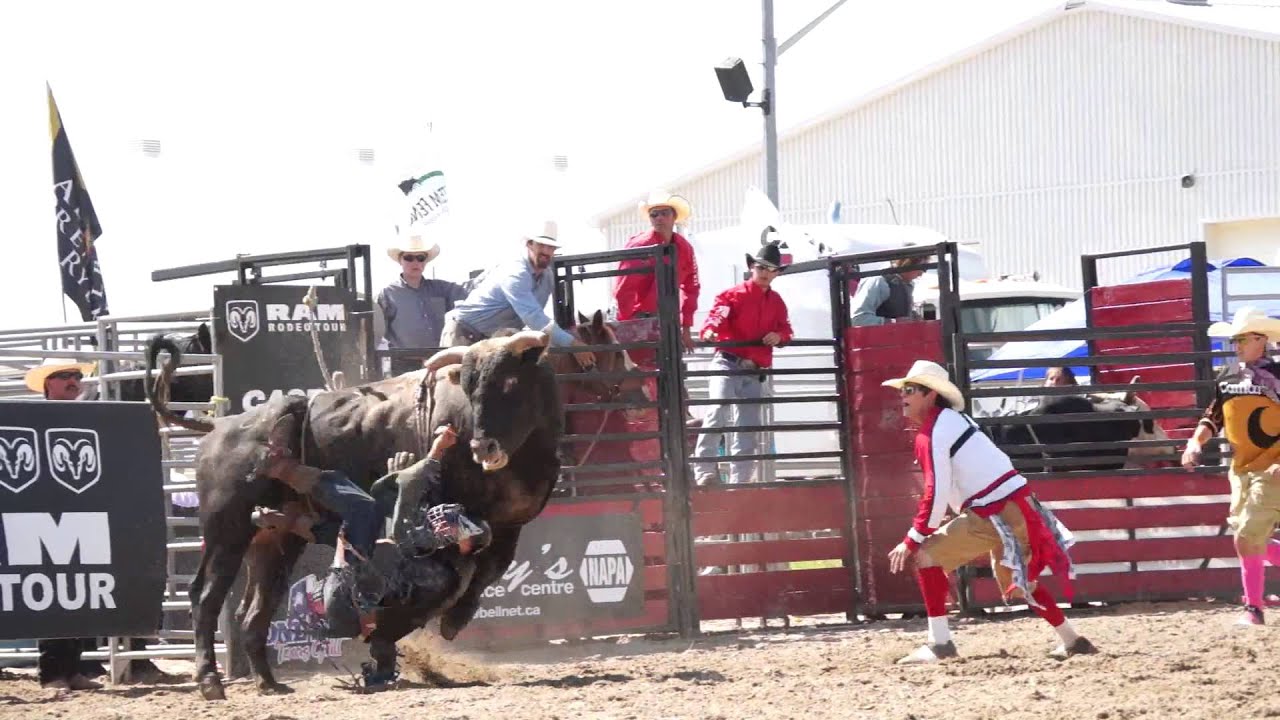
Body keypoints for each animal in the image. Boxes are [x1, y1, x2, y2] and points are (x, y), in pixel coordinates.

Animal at [143, 309, 647, 701]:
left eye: (508, 382)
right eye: (468, 385)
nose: (482, 447)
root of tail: (218, 426)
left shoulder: (510, 524)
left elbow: (489, 572)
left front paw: (453, 622)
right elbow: (461, 576)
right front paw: (442, 624)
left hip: (273, 541)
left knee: (256, 607)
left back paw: (269, 682)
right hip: (225, 529)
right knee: (205, 596)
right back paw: (210, 681)